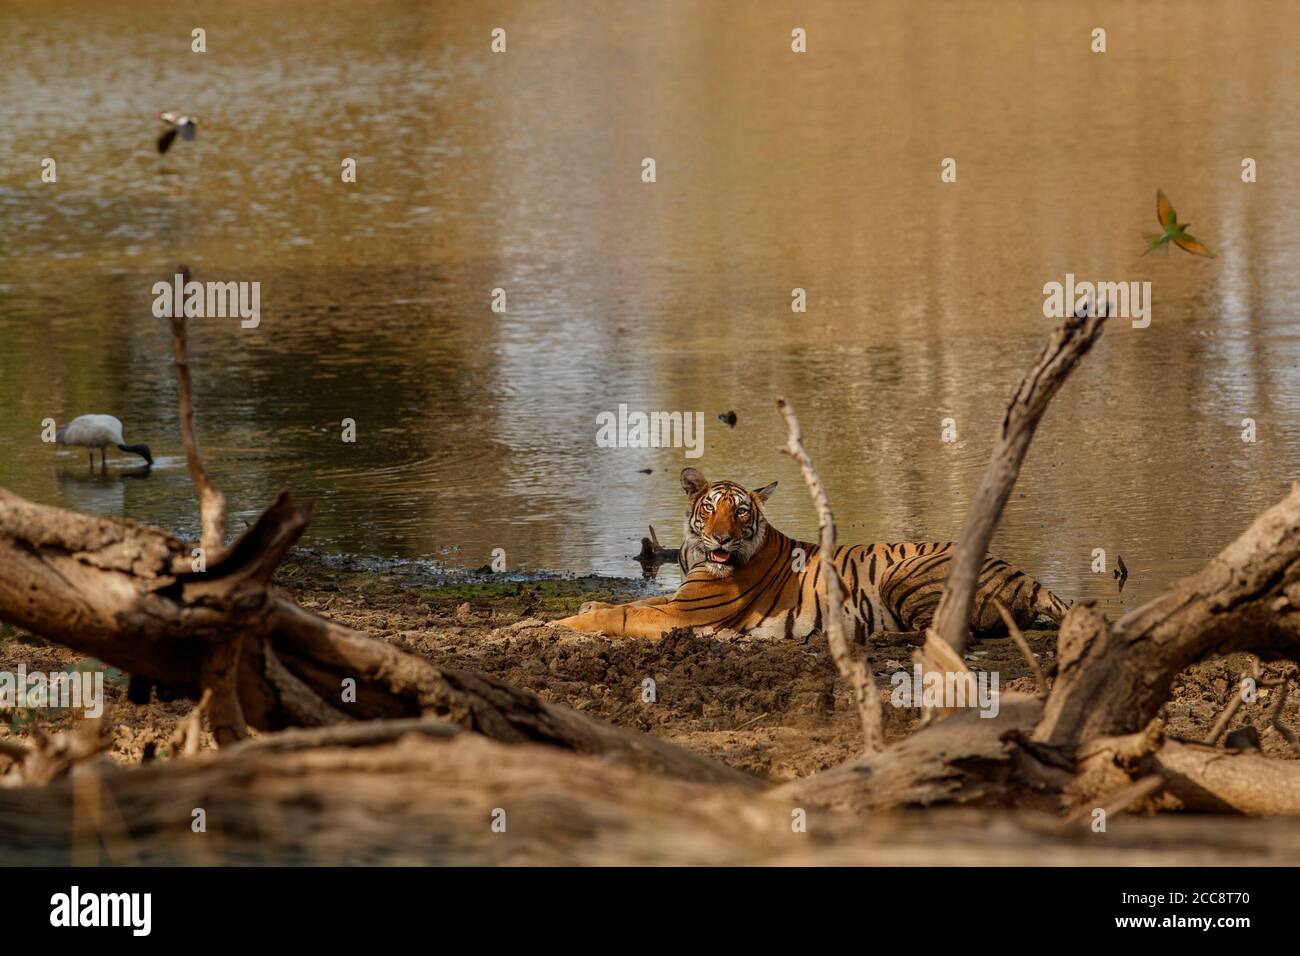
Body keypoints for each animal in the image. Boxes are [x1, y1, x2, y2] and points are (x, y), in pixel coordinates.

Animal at [553, 467, 1069, 640]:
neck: (697, 556)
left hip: (903, 573)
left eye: (741, 512)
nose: (721, 539)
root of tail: (1028, 576)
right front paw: (588, 603)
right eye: (711, 509)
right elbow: (637, 600)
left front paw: (565, 621)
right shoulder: (678, 600)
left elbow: (622, 615)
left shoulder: (687, 613)